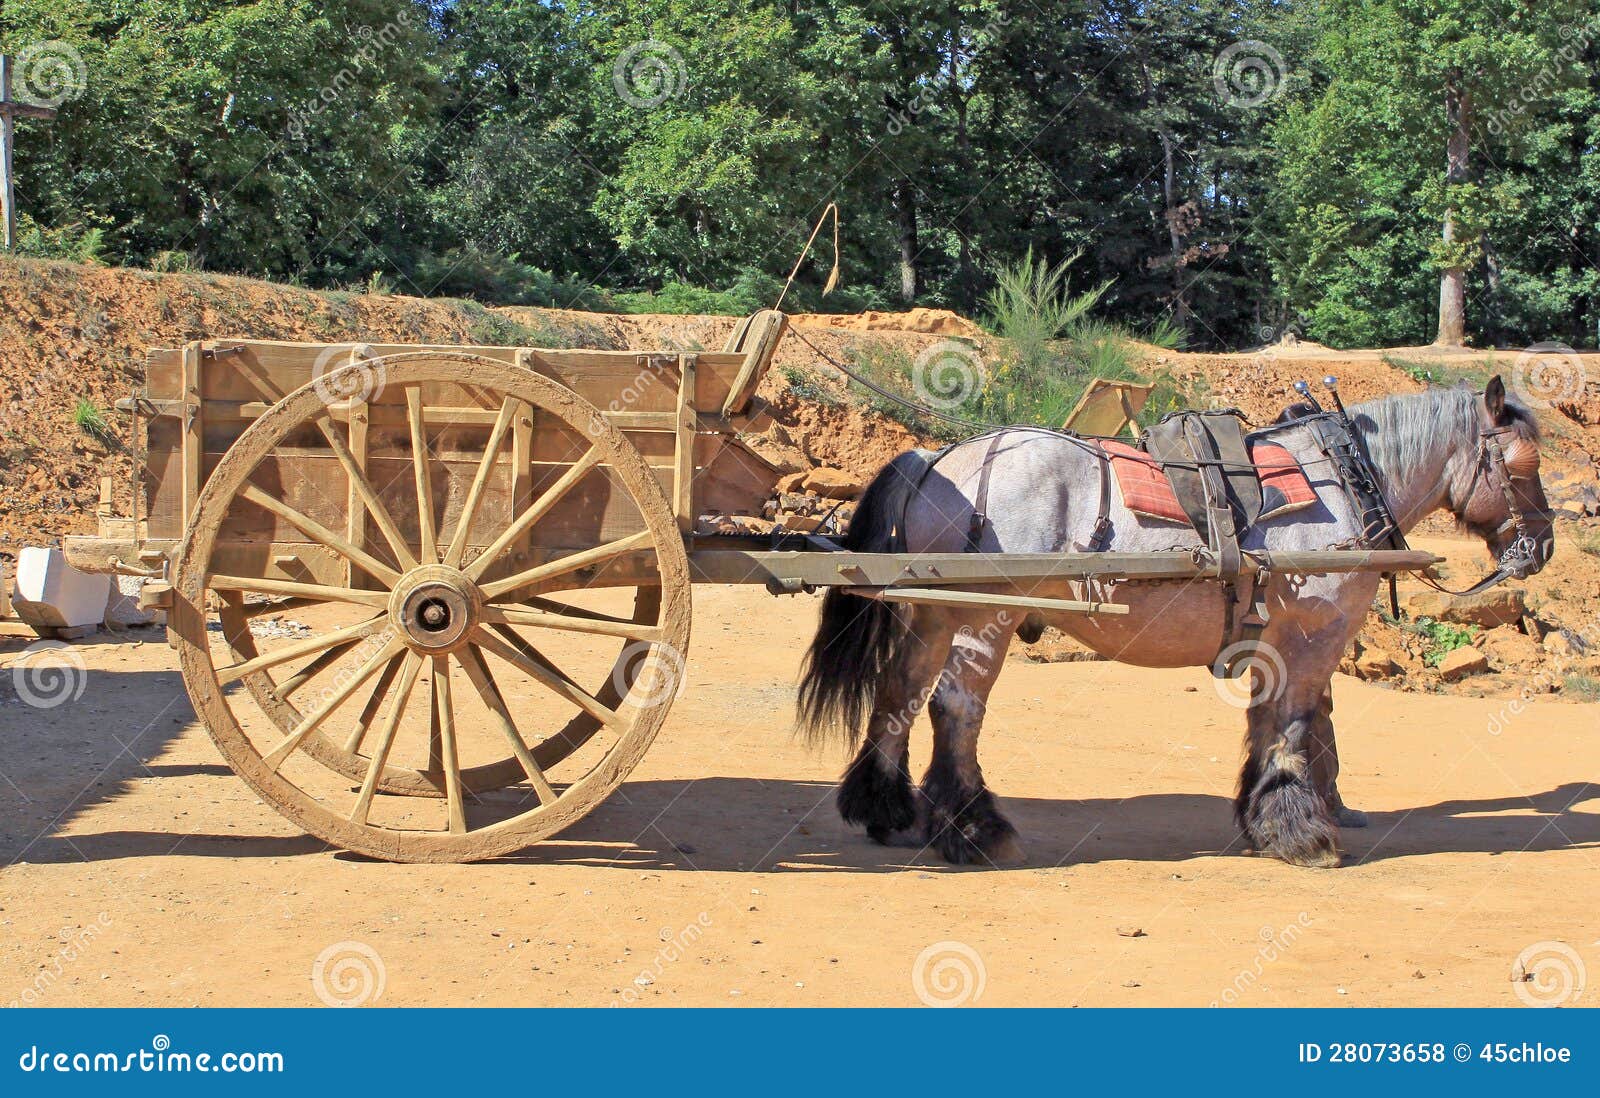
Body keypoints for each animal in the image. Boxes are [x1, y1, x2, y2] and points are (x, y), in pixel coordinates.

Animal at [797, 378, 1554, 869]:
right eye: (1524, 463)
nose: (1540, 547)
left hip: (933, 613)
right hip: (988, 615)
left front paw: (1262, 821)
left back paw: (885, 808)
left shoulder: (1273, 640)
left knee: (900, 694)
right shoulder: (1313, 637)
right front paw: (1301, 832)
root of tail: (936, 459)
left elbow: (1265, 723)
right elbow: (1297, 724)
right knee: (954, 708)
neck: (1344, 480)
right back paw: (974, 829)